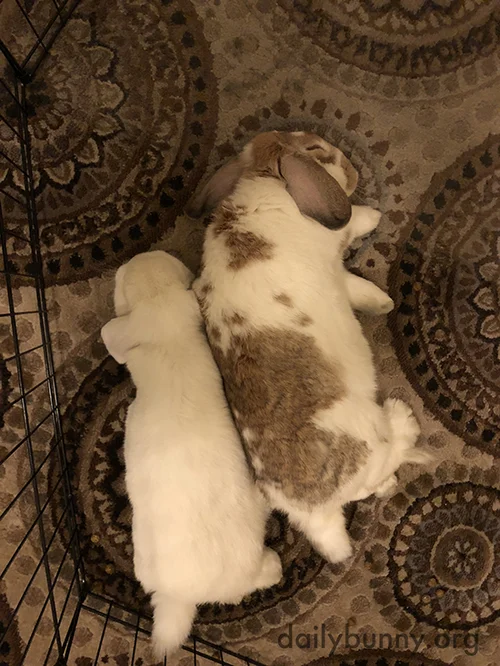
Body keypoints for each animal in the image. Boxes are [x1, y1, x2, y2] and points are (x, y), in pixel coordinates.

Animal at [186, 131, 431, 564]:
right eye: (316, 150)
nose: (353, 171)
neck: (268, 179)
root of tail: (313, 513)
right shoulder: (333, 252)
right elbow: (351, 247)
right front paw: (371, 220)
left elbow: (354, 287)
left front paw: (381, 302)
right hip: (366, 430)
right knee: (392, 452)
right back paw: (403, 418)